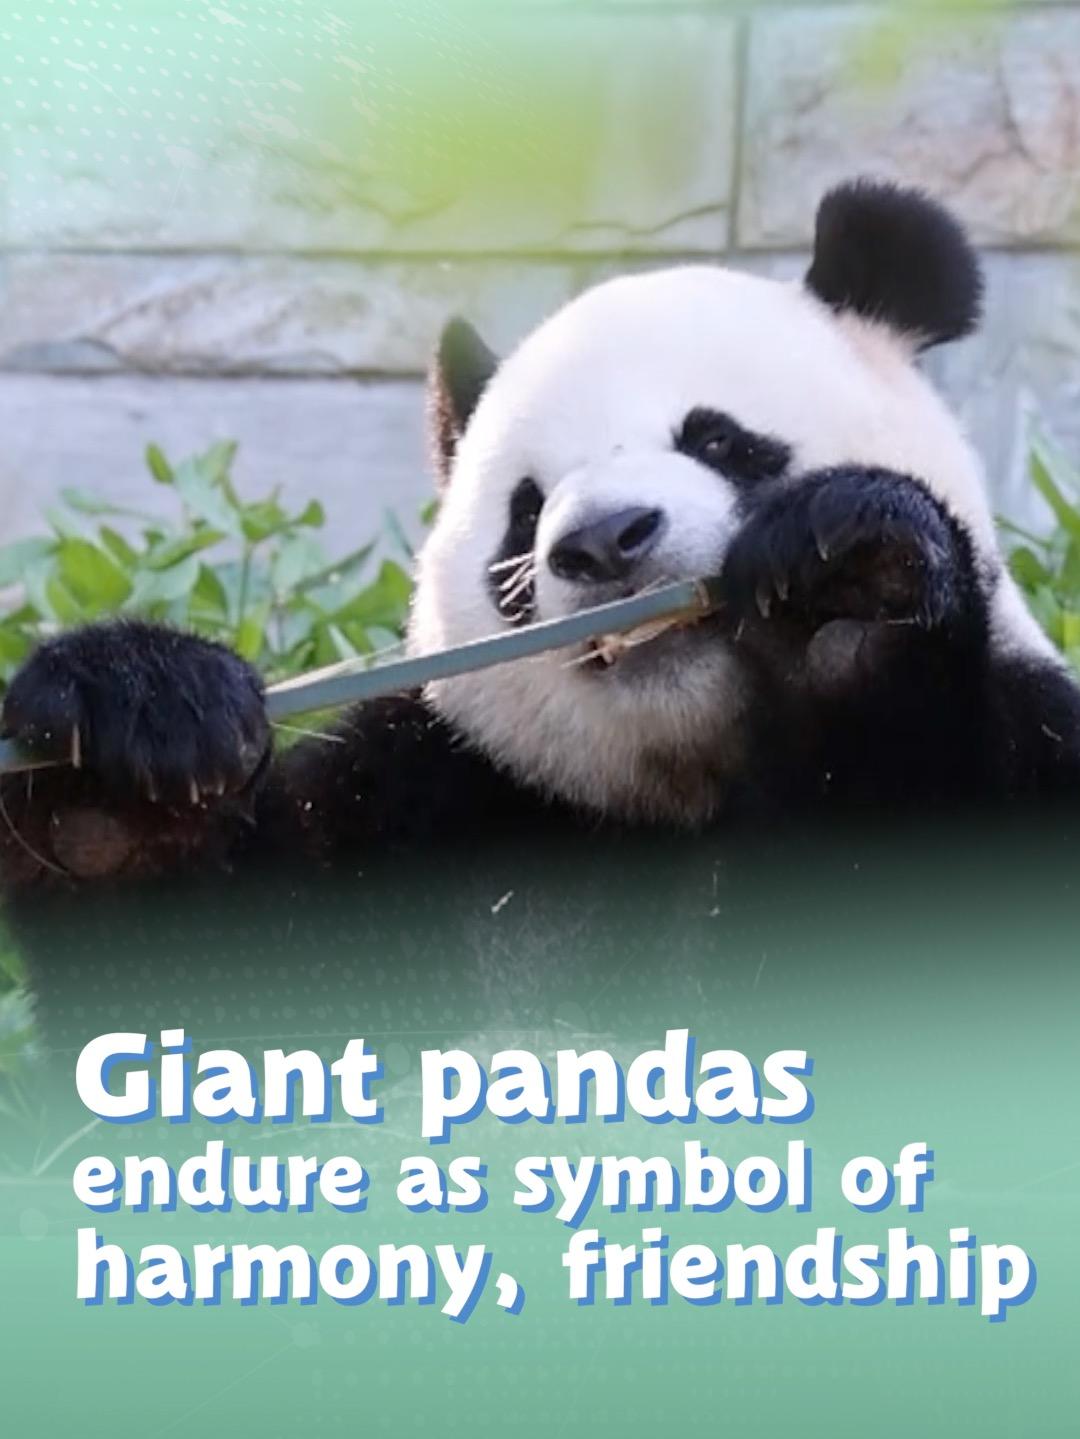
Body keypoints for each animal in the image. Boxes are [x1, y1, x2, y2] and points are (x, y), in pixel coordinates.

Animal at [3, 178, 1080, 900]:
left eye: (717, 438)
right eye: (529, 509)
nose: (604, 541)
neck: (680, 789)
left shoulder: (1025, 745)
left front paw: (845, 605)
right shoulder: (415, 791)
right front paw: (124, 753)